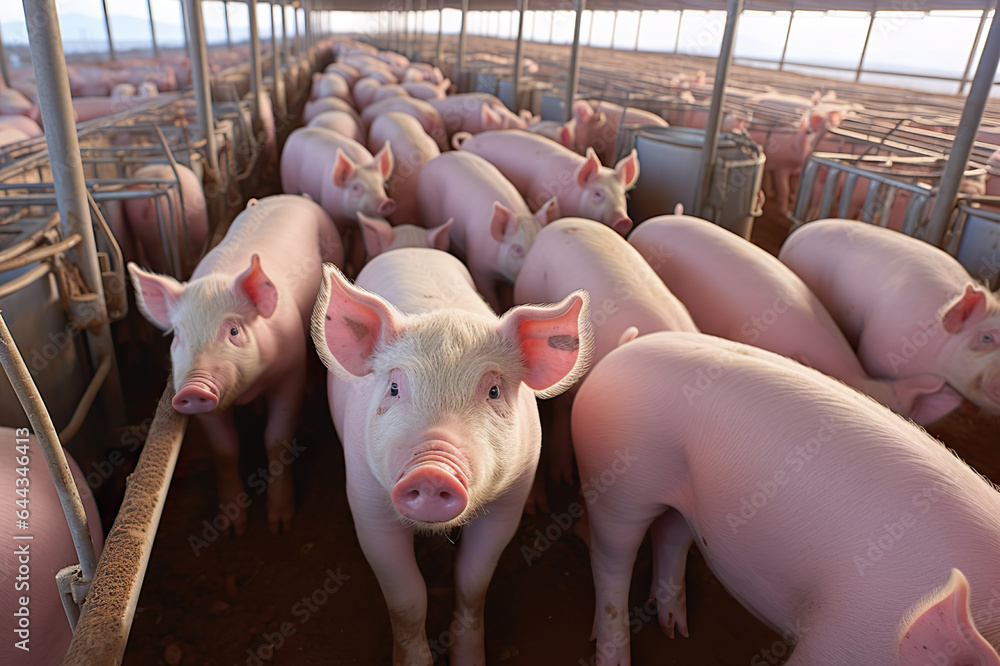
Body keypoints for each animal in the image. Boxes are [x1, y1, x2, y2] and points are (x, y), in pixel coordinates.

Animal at [129, 195, 344, 533]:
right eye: (178, 334)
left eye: (233, 331)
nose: (194, 387)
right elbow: (226, 448)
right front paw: (232, 529)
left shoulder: (289, 374)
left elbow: (276, 439)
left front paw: (279, 524)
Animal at [311, 248, 591, 665]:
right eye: (394, 387)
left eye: (493, 391)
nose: (432, 470)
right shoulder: (366, 502)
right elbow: (407, 599)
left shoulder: (510, 501)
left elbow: (472, 581)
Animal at [571, 330, 1000, 665]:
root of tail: (625, 346)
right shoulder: (845, 637)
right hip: (618, 481)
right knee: (613, 559)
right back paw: (615, 658)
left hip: (686, 488)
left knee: (672, 533)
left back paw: (677, 629)